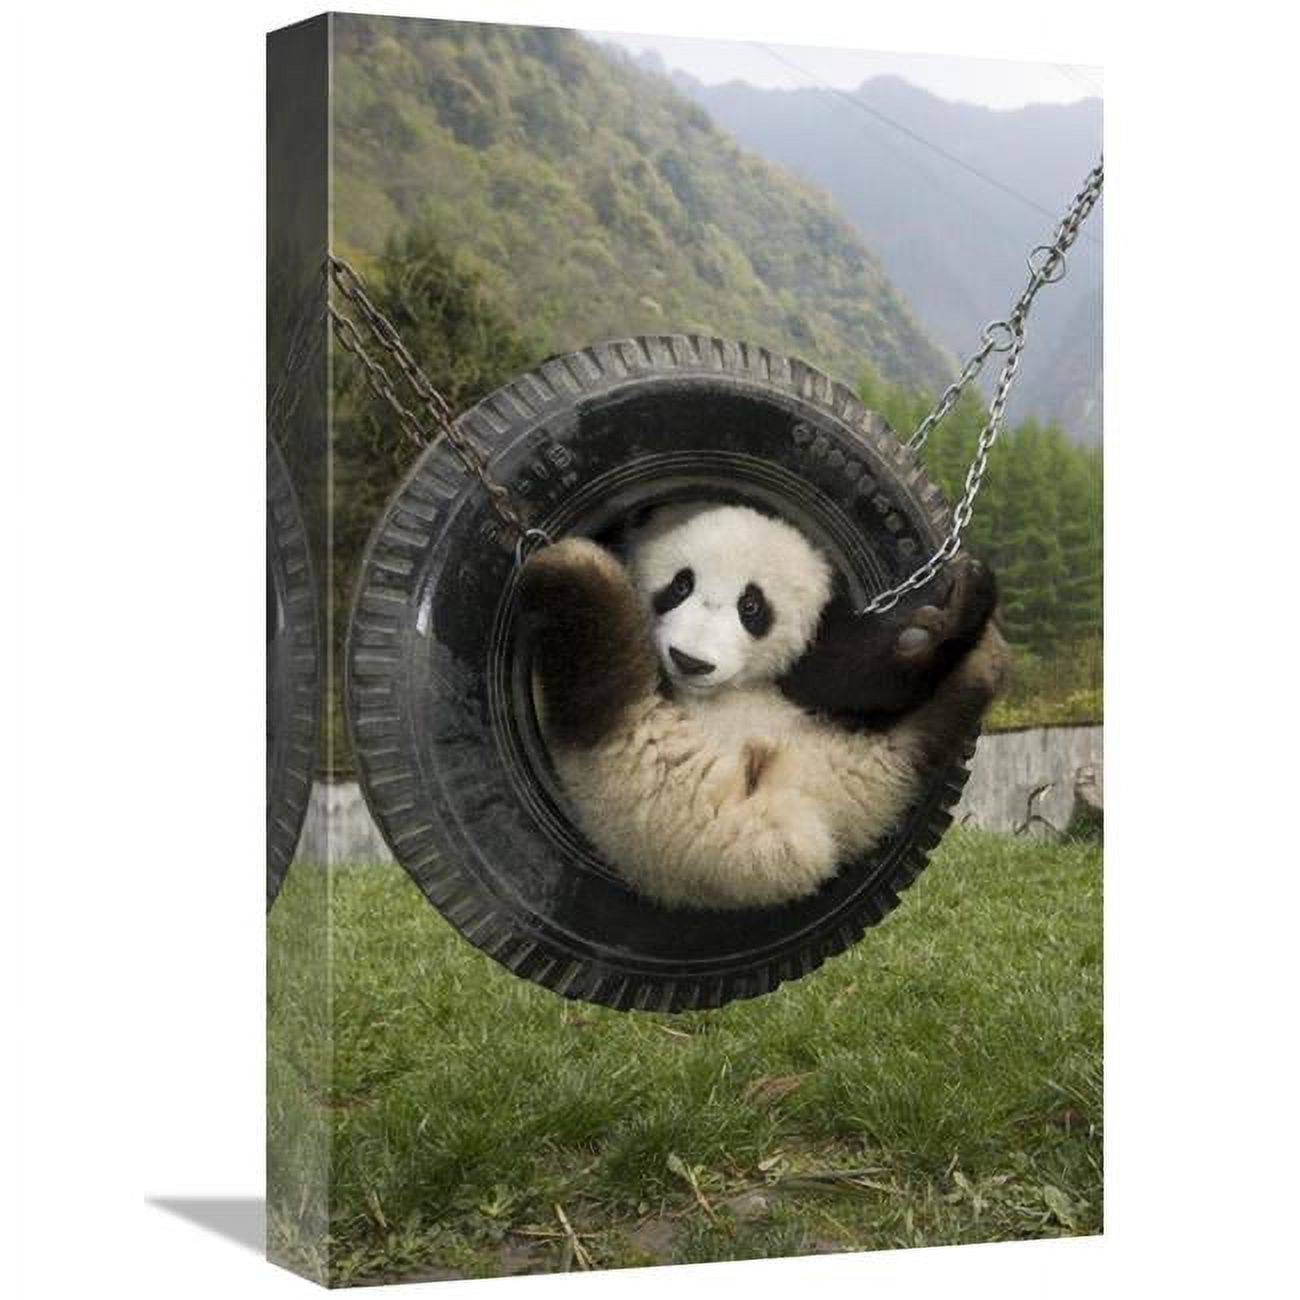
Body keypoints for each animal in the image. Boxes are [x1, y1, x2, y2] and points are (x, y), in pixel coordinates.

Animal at [518, 503, 1008, 911]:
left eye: (751, 606)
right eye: (681, 584)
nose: (689, 661)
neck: (720, 693)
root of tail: (773, 834)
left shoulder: (806, 665)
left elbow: (860, 675)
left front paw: (962, 600)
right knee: (602, 650)